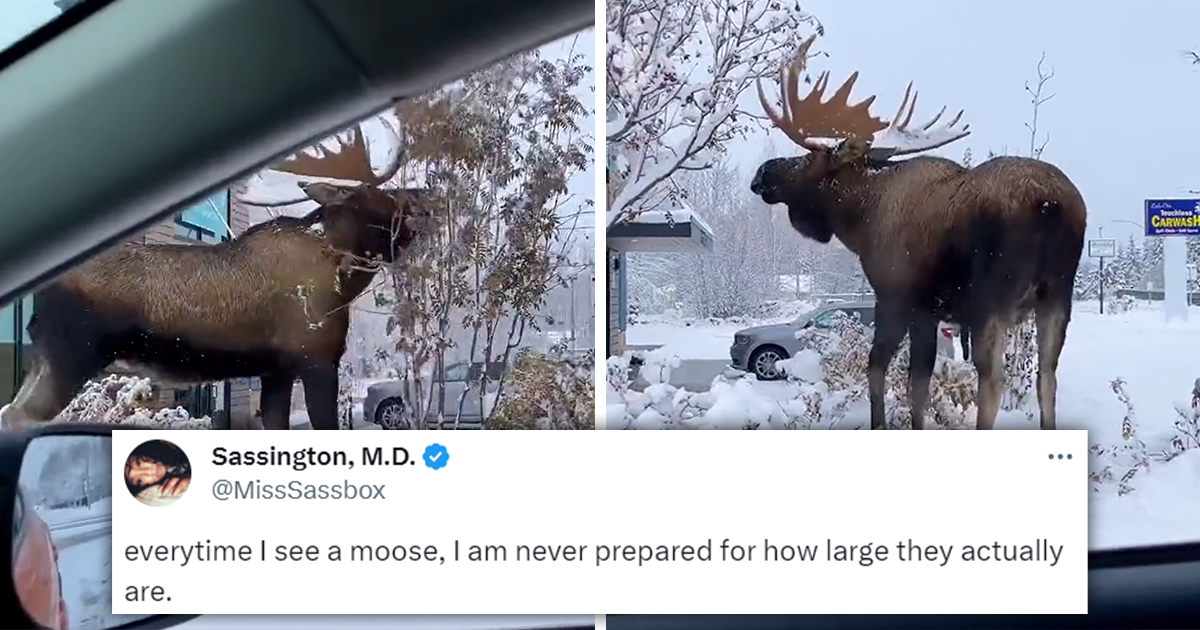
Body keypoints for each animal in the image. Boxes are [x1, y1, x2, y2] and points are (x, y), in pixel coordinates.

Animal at [748, 34, 1087, 430]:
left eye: (809, 157)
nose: (762, 173)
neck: (859, 221)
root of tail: (1051, 206)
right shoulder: (929, 310)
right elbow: (917, 384)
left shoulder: (899, 298)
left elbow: (888, 373)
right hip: (1056, 295)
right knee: (1047, 377)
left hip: (992, 301)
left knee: (993, 380)